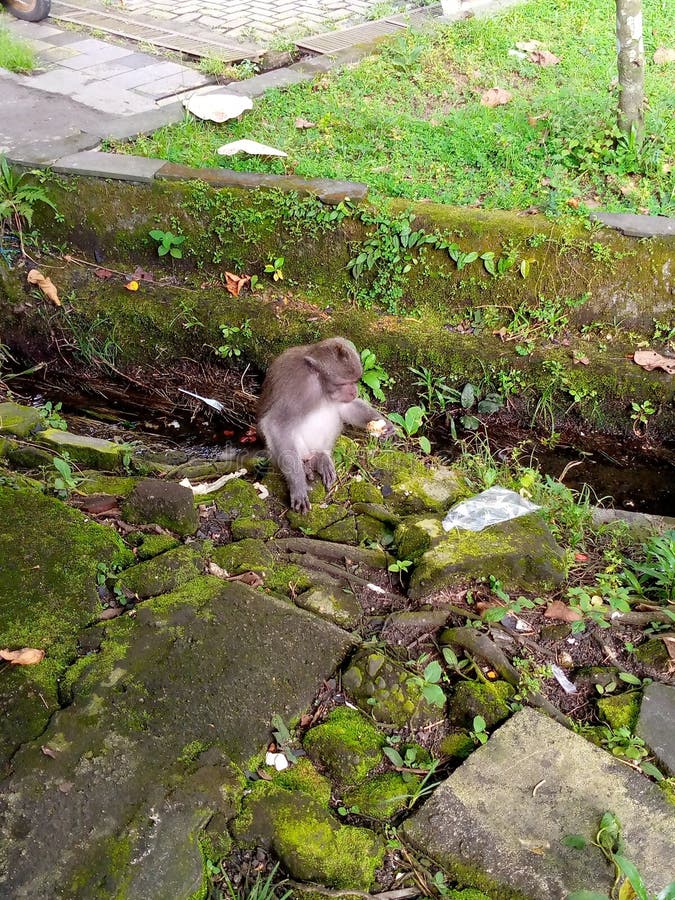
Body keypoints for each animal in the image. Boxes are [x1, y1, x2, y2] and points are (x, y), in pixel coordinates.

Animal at [257, 337, 394, 513]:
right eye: (343, 383)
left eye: (355, 381)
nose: (354, 391)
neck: (319, 385)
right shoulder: (298, 387)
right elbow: (275, 424)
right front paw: (298, 485)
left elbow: (346, 407)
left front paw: (384, 425)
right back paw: (307, 465)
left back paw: (320, 457)